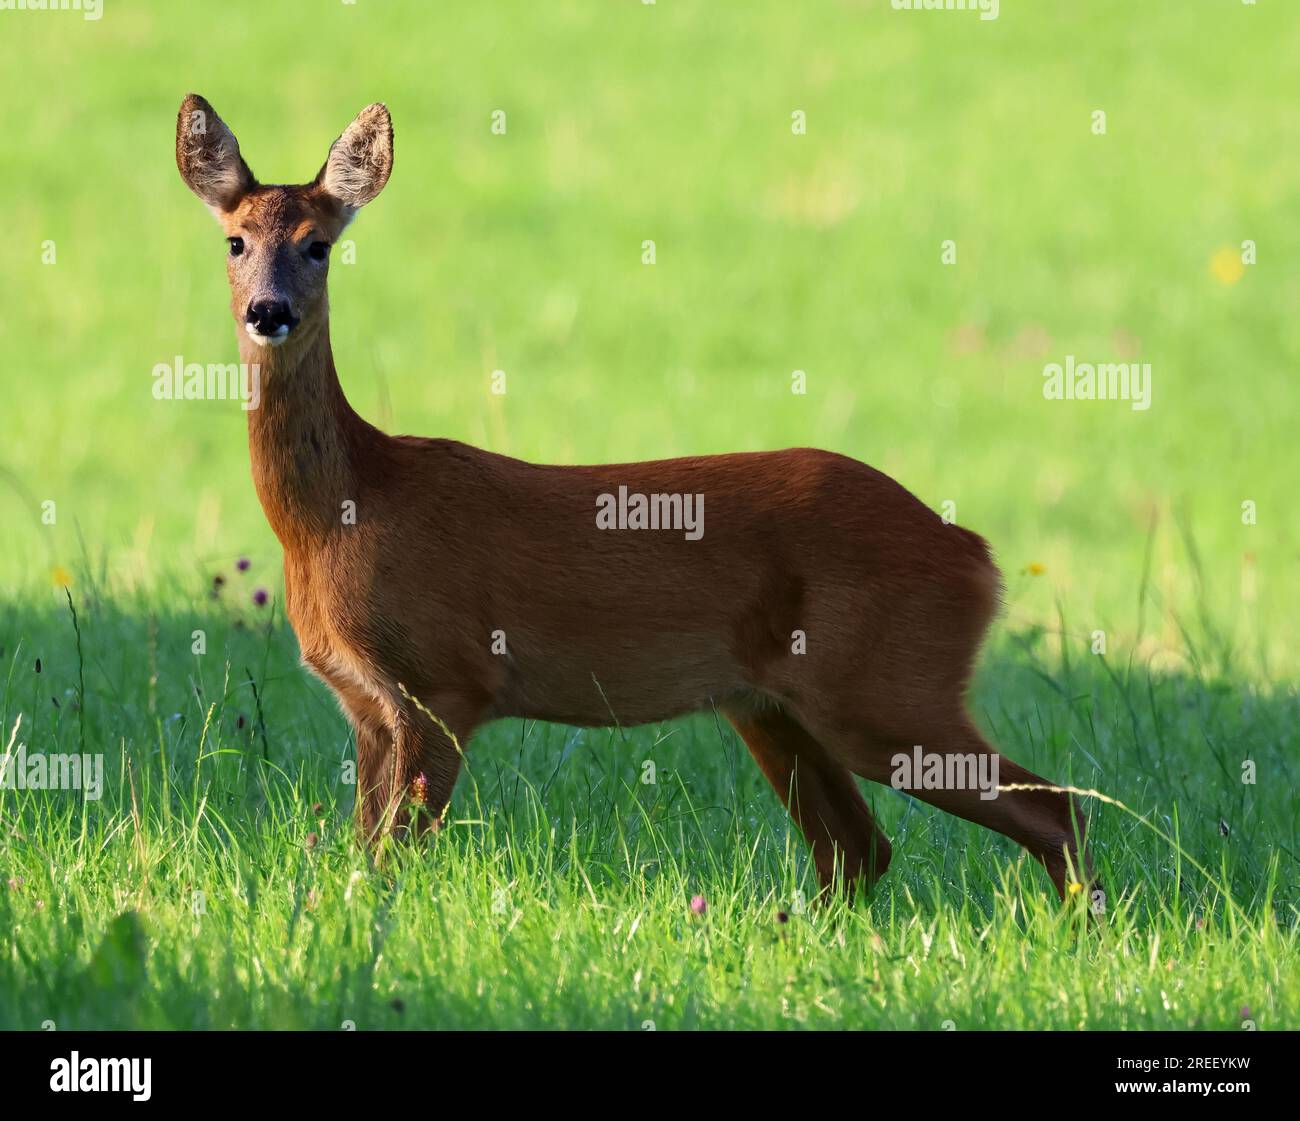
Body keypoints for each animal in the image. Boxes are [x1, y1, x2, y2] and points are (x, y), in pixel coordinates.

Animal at [175, 94, 1097, 902]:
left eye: (319, 245)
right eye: (234, 240)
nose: (269, 312)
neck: (344, 511)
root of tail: (976, 552)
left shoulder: (448, 681)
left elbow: (388, 862)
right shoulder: (368, 705)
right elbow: (363, 851)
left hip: (887, 685)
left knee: (1052, 809)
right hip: (774, 706)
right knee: (858, 848)